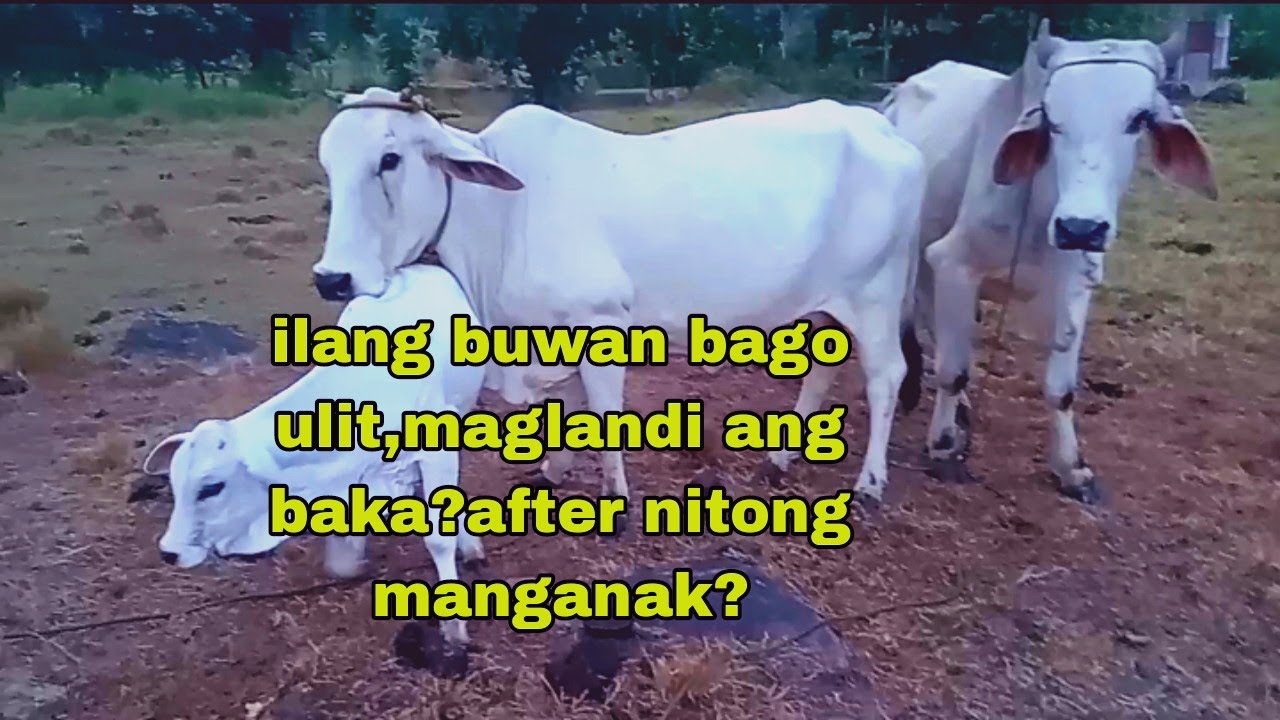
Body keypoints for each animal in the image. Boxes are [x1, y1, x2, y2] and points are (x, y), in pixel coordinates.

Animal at [141, 265, 487, 648]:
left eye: (211, 488)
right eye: (174, 485)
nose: (168, 552)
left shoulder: (436, 453)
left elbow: (439, 538)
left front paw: (453, 626)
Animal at [311, 90, 928, 510]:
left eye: (389, 160)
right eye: (329, 165)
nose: (331, 279)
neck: (499, 219)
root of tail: (879, 123)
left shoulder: (600, 320)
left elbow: (601, 413)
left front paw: (616, 497)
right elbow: (569, 409)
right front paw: (552, 472)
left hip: (875, 293)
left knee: (885, 376)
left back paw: (870, 484)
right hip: (824, 304)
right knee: (822, 373)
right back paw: (780, 459)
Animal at [879, 20, 1217, 503]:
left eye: (1139, 119)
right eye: (1052, 120)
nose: (1080, 227)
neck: (1039, 205)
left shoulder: (1077, 280)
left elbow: (1062, 390)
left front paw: (1071, 468)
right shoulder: (954, 264)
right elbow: (954, 370)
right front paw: (943, 447)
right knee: (913, 318)